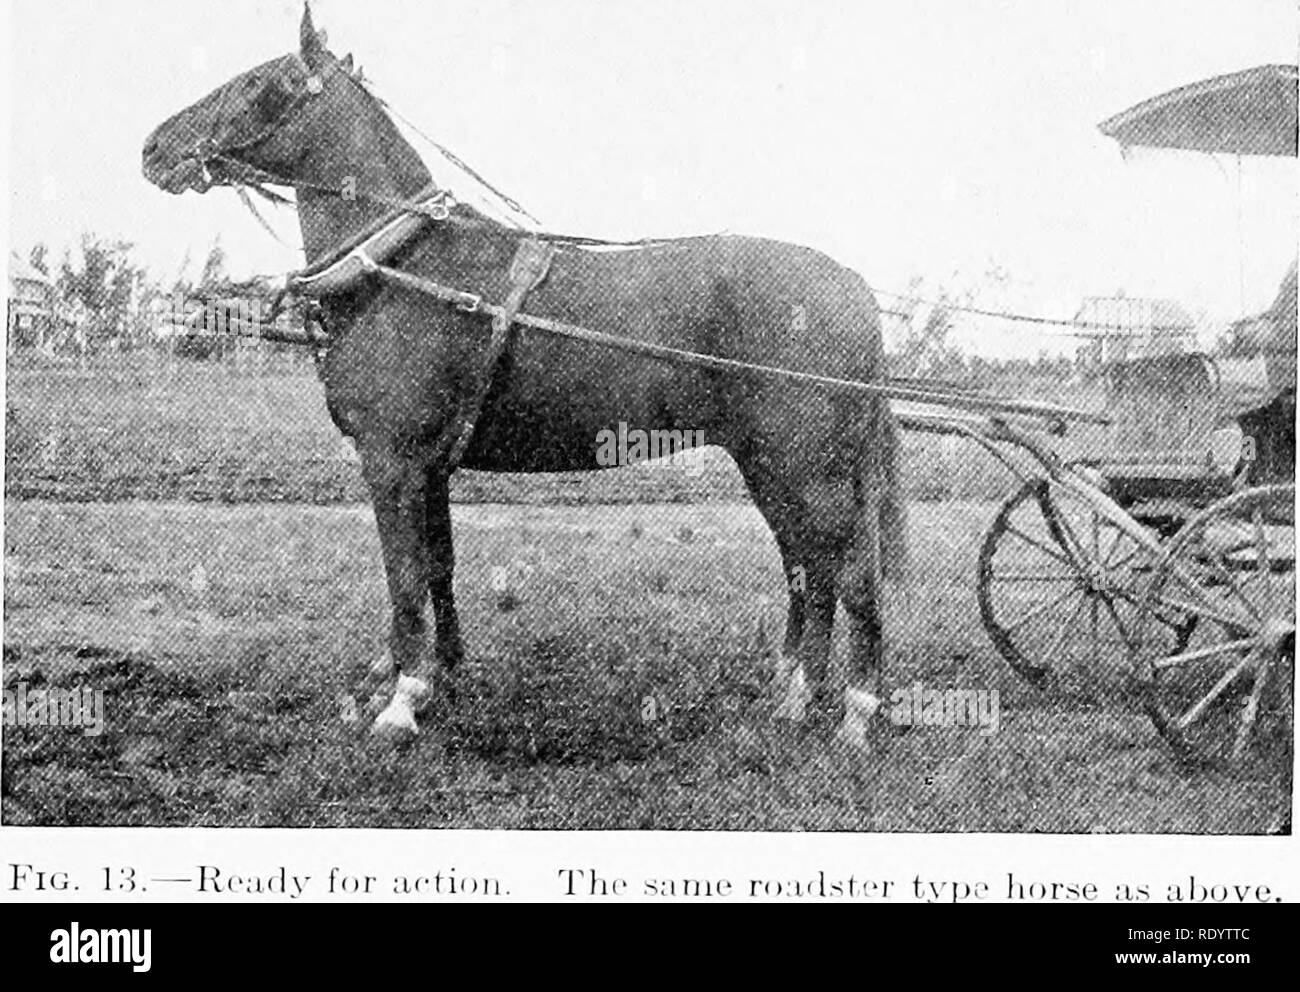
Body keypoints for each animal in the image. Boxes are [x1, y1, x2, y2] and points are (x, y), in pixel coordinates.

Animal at [142, 5, 907, 748]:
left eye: (260, 83)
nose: (153, 148)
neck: (402, 268)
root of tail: (851, 286)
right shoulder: (430, 467)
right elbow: (437, 569)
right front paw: (441, 678)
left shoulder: (392, 462)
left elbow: (403, 578)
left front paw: (401, 702)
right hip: (771, 468)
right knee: (809, 570)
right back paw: (796, 697)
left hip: (809, 472)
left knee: (850, 573)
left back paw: (856, 713)